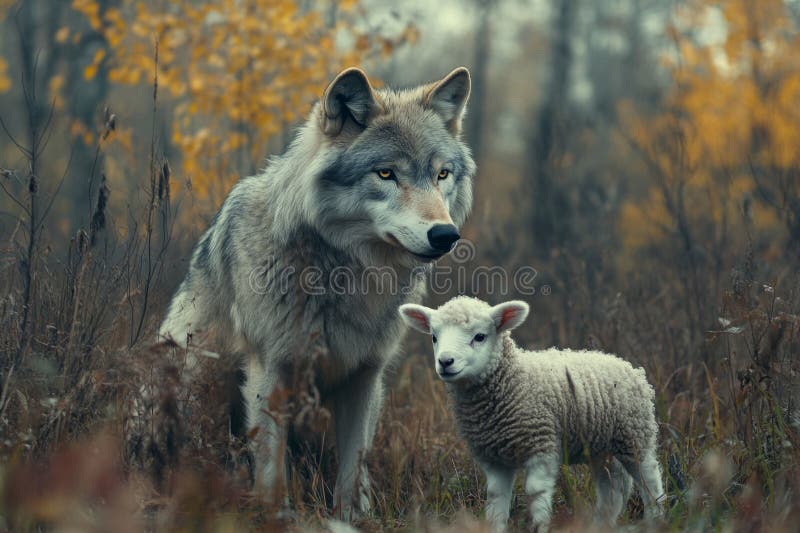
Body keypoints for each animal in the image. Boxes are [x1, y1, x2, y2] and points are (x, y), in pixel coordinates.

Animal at [157, 66, 475, 515]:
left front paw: (353, 517)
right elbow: (272, 469)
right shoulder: (270, 370)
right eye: (386, 173)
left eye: (441, 174)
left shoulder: (365, 375)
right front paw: (277, 517)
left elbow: (354, 466)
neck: (349, 275)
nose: (445, 234)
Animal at [399, 296, 664, 531]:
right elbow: (495, 500)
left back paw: (656, 520)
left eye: (479, 336)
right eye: (434, 337)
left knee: (650, 479)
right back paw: (601, 525)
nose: (445, 362)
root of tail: (621, 362)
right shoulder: (493, 458)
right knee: (613, 489)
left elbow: (536, 495)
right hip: (602, 447)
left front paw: (538, 526)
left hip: (635, 435)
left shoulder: (541, 445)